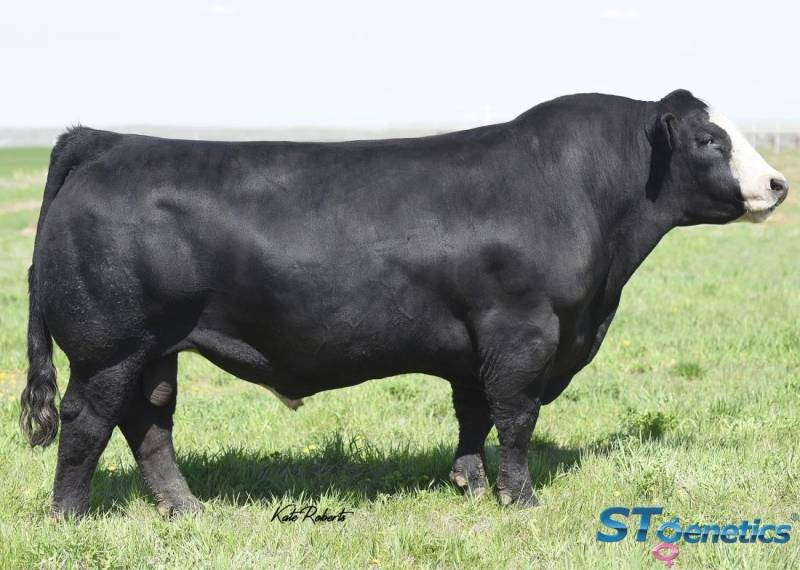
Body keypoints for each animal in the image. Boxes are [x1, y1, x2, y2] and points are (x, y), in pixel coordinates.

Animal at [19, 89, 788, 518]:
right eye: (709, 138)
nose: (779, 184)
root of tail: (106, 142)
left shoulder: (477, 343)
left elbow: (474, 413)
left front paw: (469, 484)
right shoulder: (523, 330)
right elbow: (516, 418)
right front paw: (520, 499)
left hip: (156, 349)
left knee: (149, 424)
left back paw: (186, 509)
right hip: (110, 347)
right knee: (88, 423)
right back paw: (70, 517)